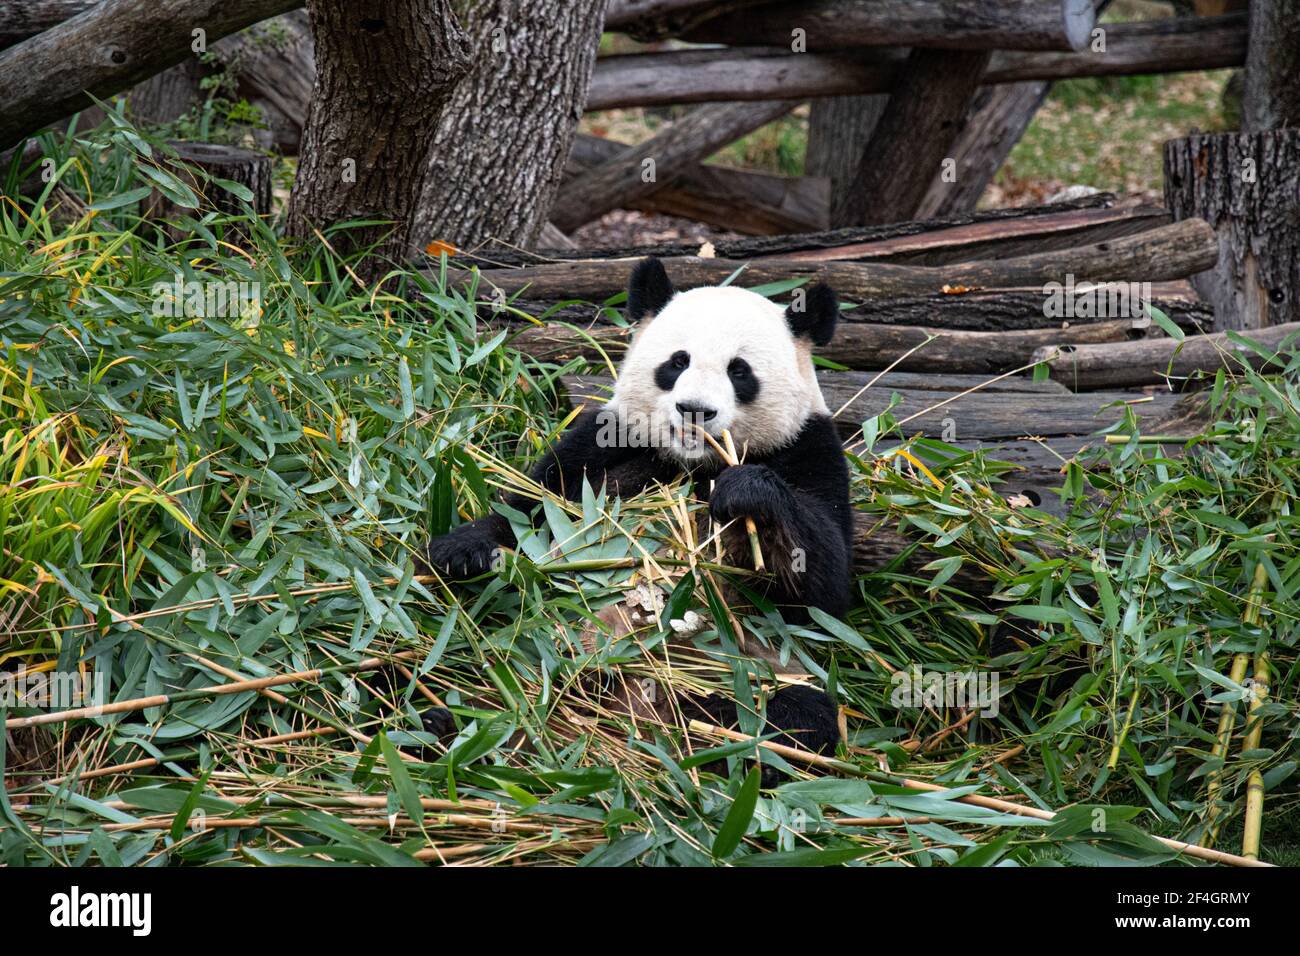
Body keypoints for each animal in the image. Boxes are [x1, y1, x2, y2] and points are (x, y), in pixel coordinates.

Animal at [422, 257, 853, 766]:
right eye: (677, 362)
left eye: (739, 371)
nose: (694, 410)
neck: (690, 463)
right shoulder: (606, 439)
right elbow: (532, 508)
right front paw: (462, 550)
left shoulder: (809, 446)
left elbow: (824, 591)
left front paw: (747, 491)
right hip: (530, 643)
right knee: (476, 666)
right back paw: (445, 725)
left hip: (755, 674)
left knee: (796, 713)